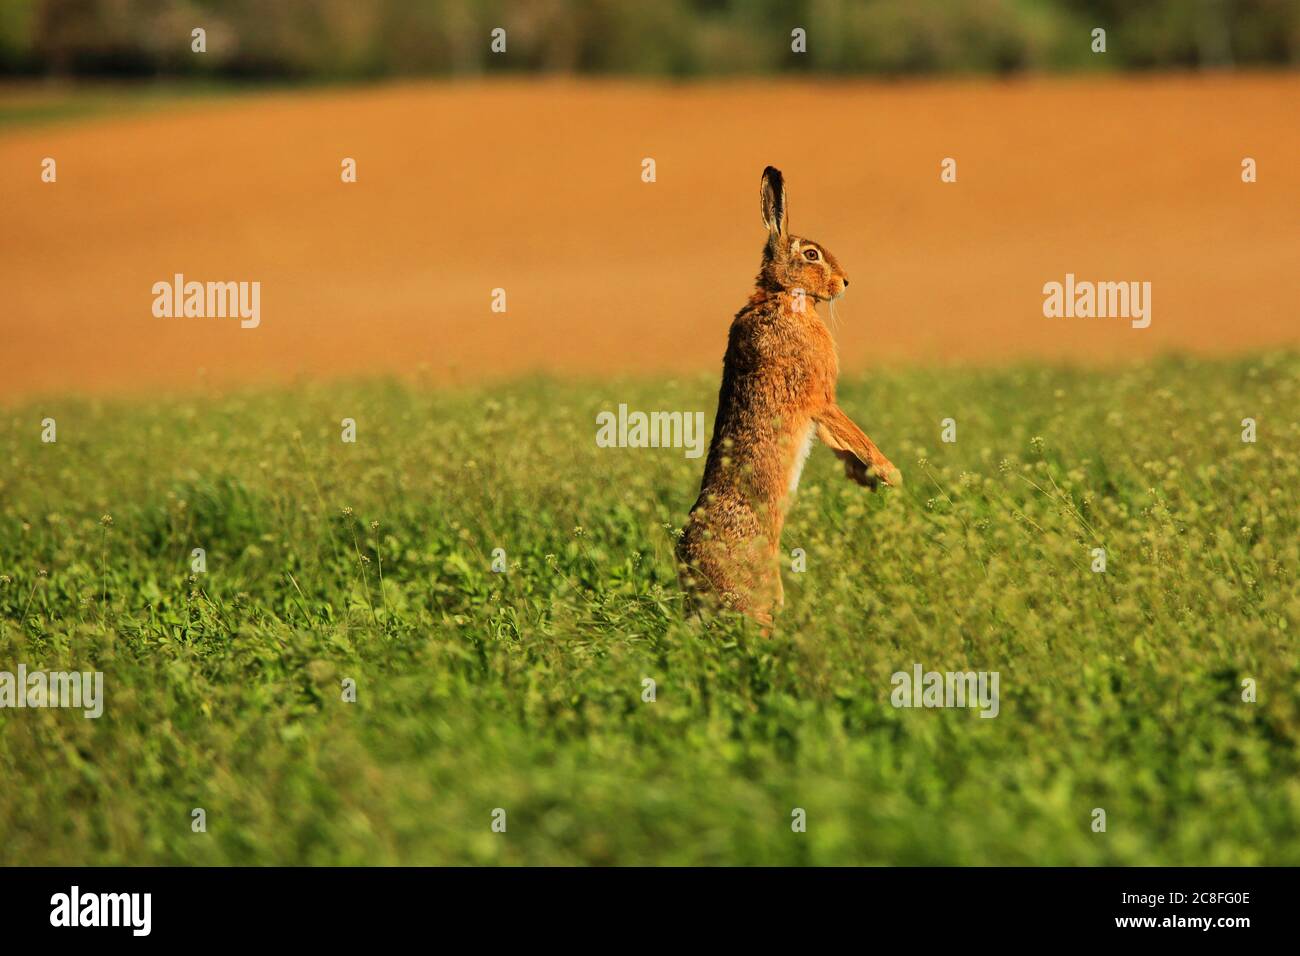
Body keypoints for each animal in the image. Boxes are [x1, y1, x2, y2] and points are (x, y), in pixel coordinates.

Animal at [677, 166, 900, 628]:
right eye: (811, 255)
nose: (845, 282)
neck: (782, 295)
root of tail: (688, 562)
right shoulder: (821, 398)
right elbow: (853, 432)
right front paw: (891, 474)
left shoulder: (817, 415)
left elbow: (840, 442)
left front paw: (867, 479)